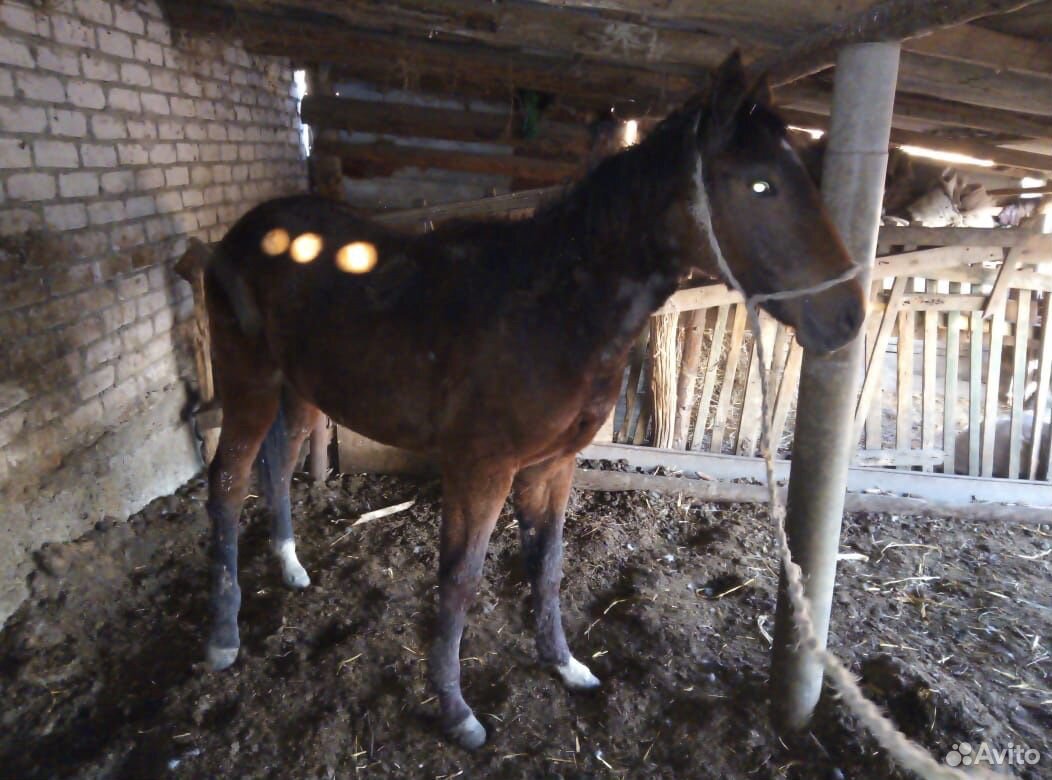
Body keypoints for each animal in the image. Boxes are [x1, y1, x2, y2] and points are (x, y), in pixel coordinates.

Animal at [200, 52, 866, 750]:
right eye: (761, 185)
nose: (848, 317)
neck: (553, 309)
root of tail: (245, 233)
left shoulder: (553, 465)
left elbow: (546, 564)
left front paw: (564, 665)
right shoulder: (480, 469)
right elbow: (460, 579)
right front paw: (456, 712)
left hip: (302, 390)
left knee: (277, 464)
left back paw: (289, 568)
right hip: (249, 383)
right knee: (227, 483)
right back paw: (223, 636)